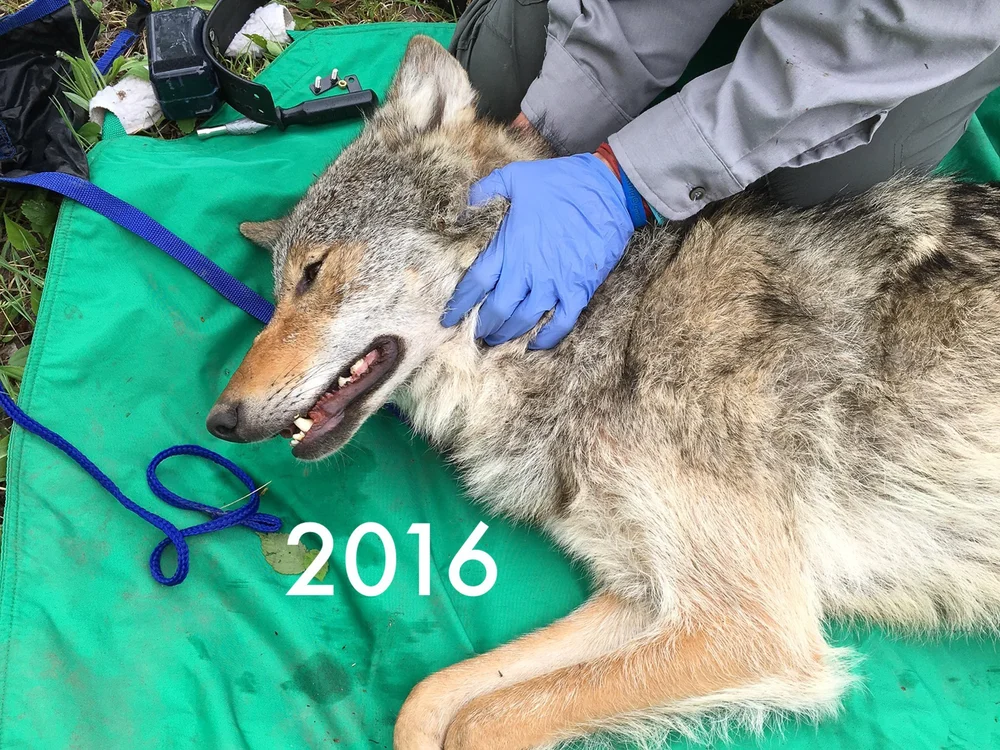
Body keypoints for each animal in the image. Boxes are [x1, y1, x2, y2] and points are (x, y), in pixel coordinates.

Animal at [207, 35, 1000, 750]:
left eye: (313, 272)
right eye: (275, 290)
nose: (219, 420)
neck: (607, 330)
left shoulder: (753, 625)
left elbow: (483, 721)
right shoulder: (644, 595)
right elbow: (432, 697)